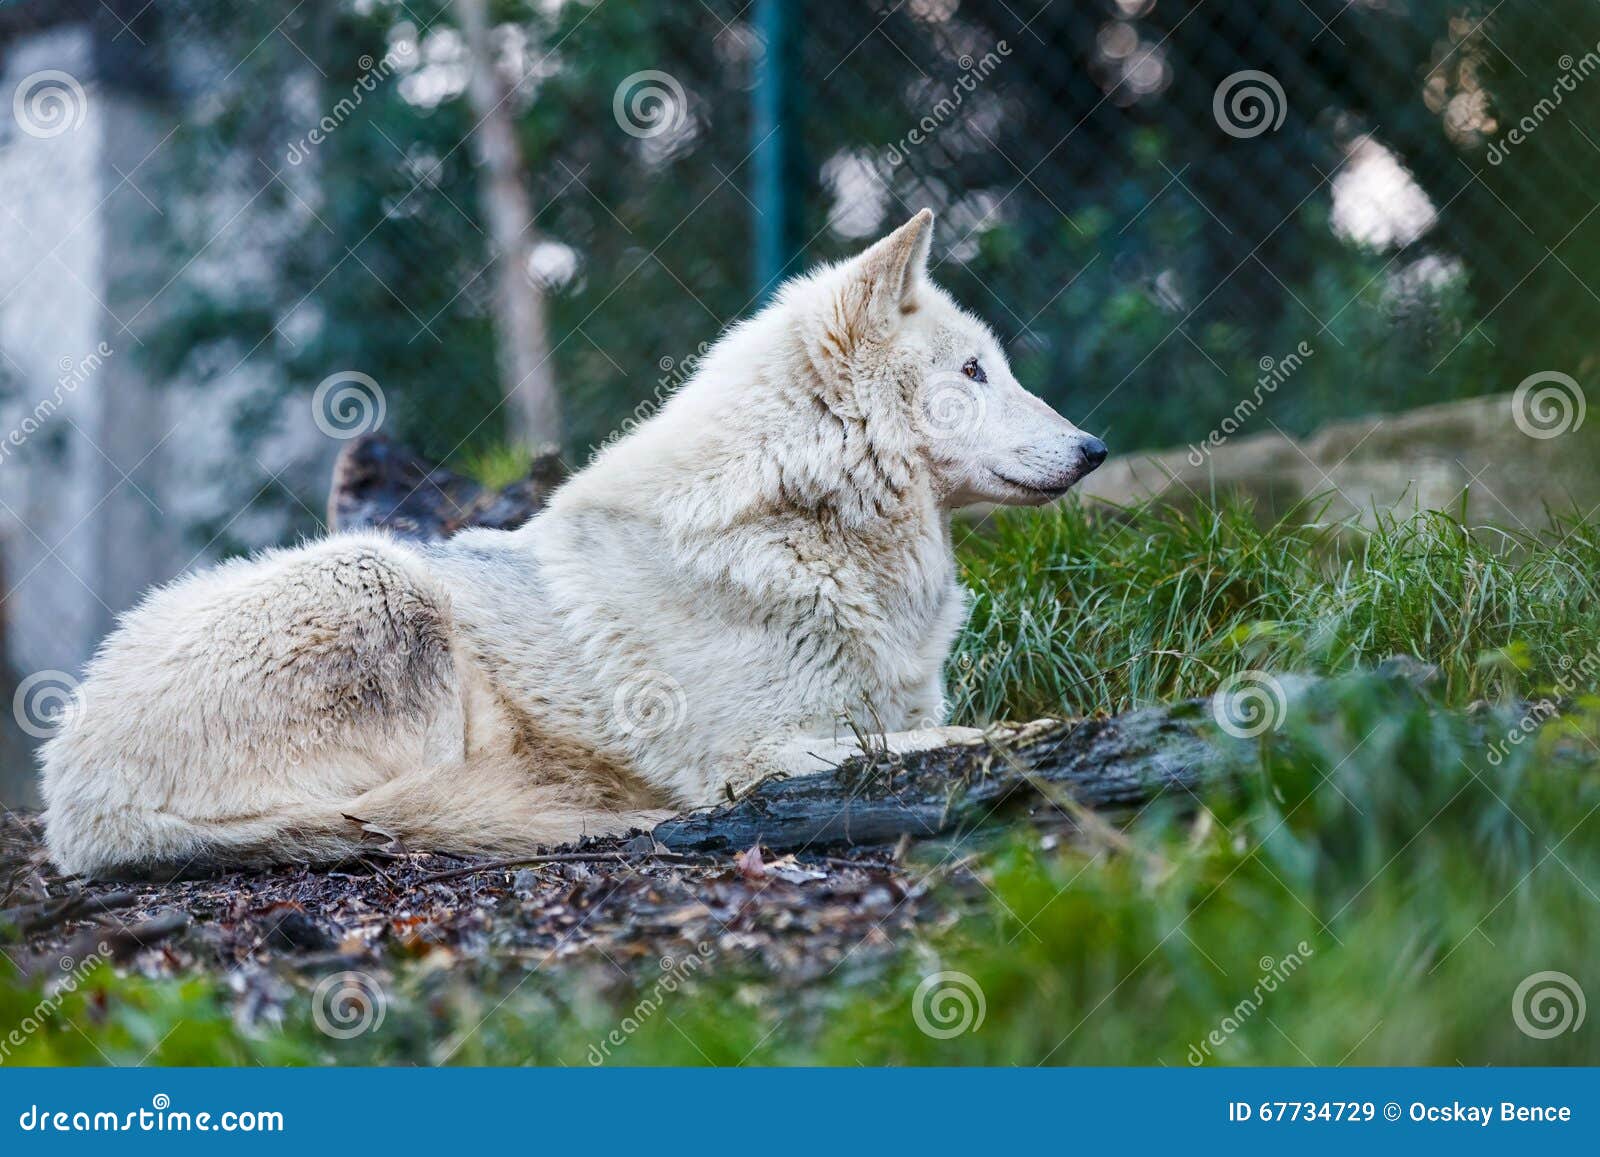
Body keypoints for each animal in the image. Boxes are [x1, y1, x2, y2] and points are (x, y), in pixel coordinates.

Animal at [40, 210, 1106, 878]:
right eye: (975, 370)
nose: (1096, 449)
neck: (798, 522)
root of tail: (73, 800)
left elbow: (957, 723)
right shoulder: (761, 752)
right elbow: (975, 734)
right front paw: (1076, 731)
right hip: (385, 583)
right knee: (413, 805)